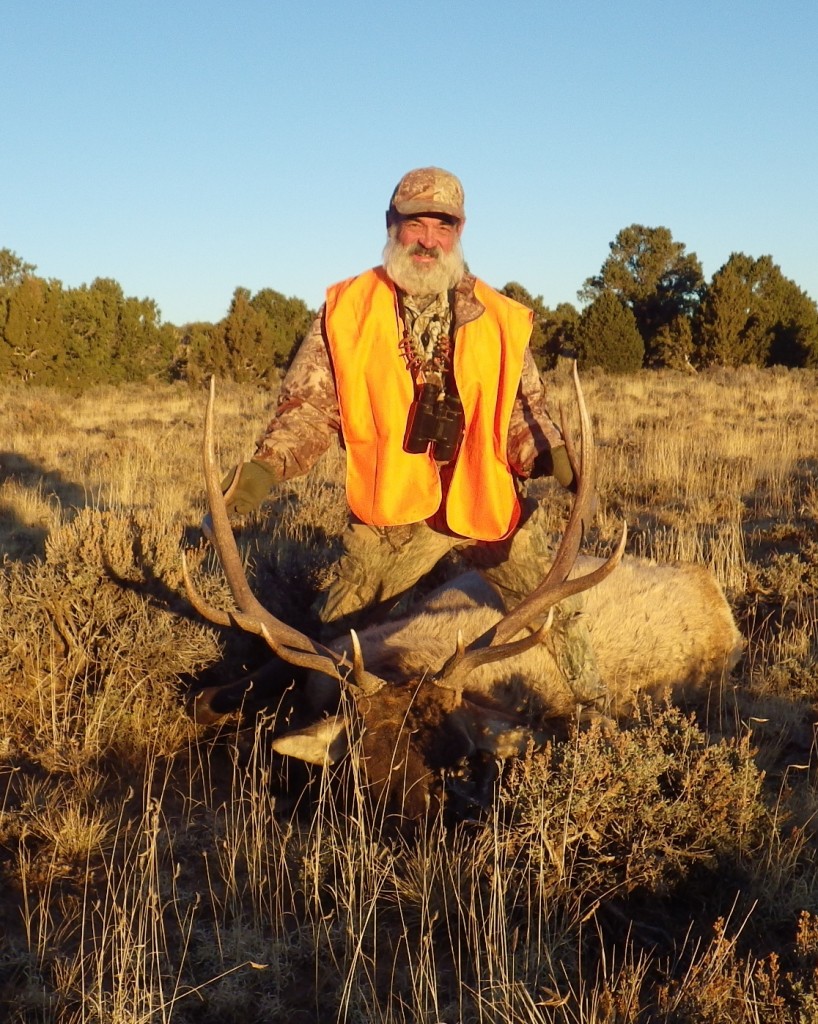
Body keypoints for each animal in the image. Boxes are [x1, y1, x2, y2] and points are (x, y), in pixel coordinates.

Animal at [182, 367, 744, 821]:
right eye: (367, 761)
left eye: (461, 756)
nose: (413, 822)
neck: (401, 659)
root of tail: (709, 585)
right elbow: (217, 699)